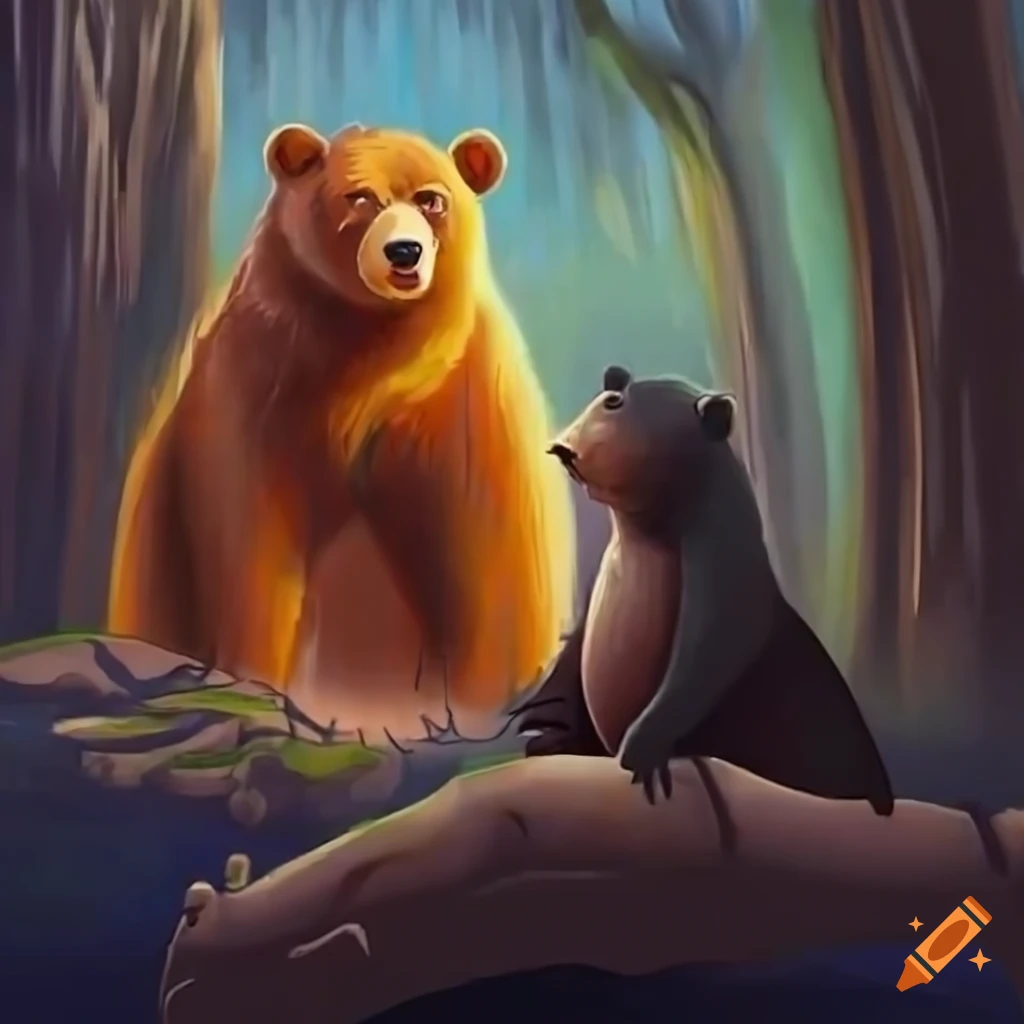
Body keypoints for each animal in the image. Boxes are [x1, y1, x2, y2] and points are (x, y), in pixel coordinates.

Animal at [108, 122, 576, 740]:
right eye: (360, 197)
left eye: (431, 199)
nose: (404, 251)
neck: (367, 355)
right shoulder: (258, 382)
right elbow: (250, 540)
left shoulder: (462, 407)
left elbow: (484, 565)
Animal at [511, 365, 895, 818]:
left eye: (616, 403)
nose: (562, 446)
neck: (644, 532)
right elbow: (575, 656)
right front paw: (544, 723)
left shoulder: (719, 572)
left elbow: (706, 659)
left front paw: (642, 751)